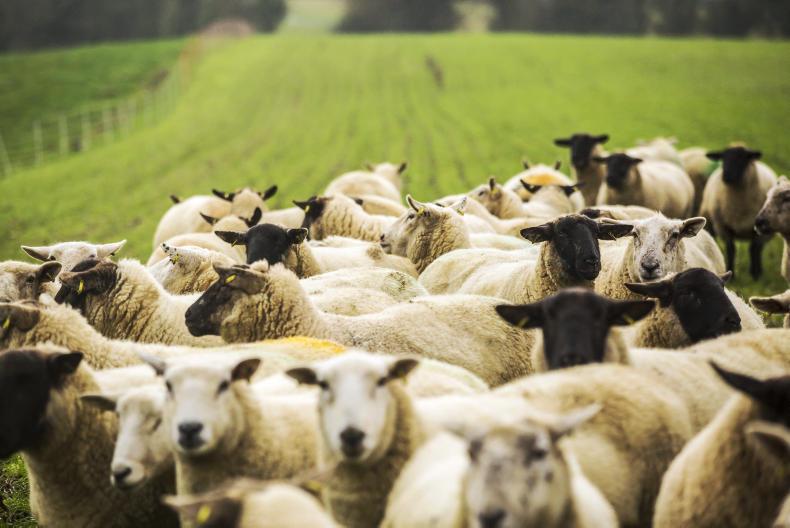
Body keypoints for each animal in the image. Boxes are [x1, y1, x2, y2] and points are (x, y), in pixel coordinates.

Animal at [700, 145, 778, 277]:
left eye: (743, 158)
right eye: (723, 158)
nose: (726, 176)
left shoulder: (757, 230)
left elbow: (754, 249)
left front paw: (755, 274)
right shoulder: (723, 226)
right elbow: (731, 249)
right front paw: (732, 272)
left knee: (759, 249)